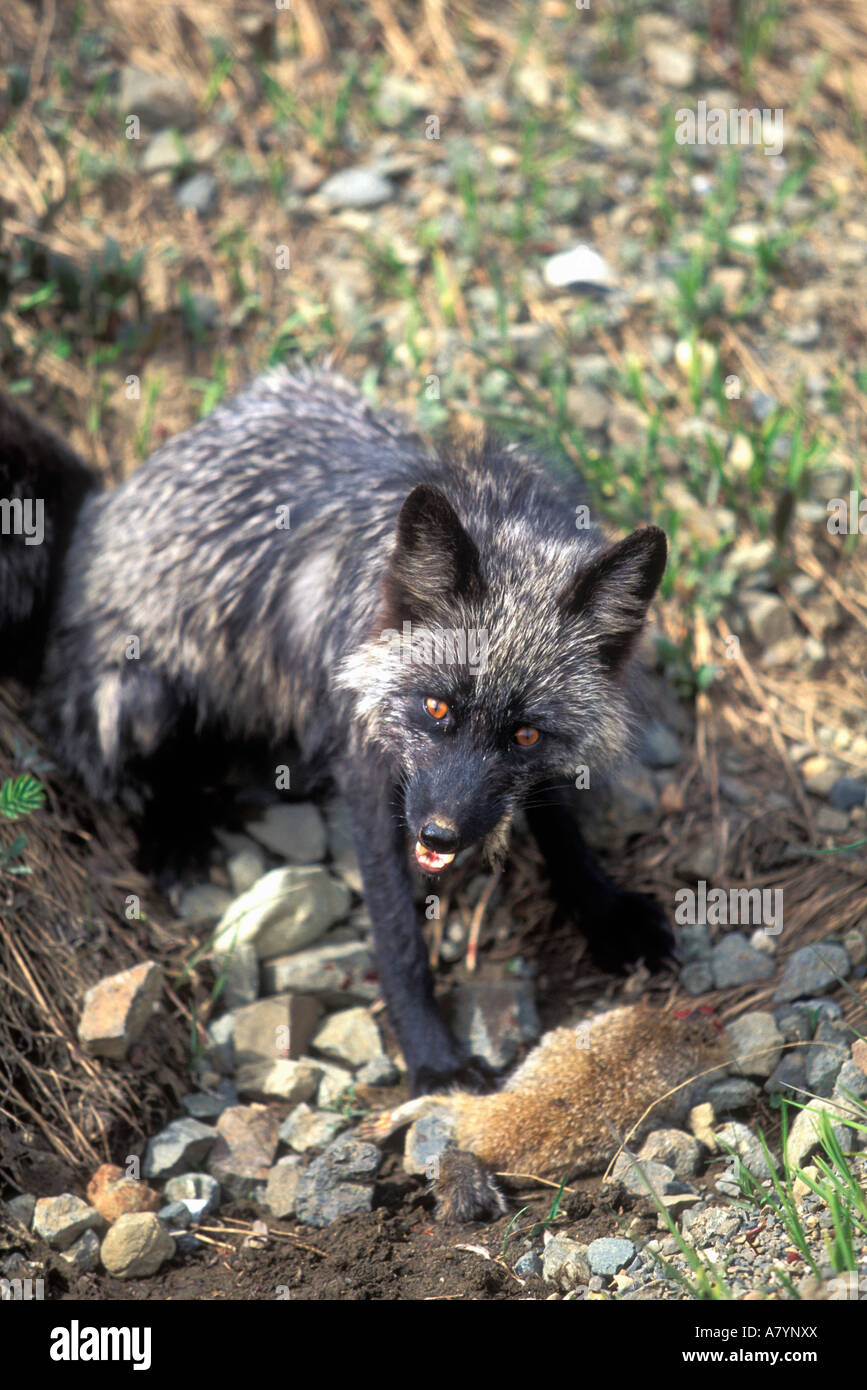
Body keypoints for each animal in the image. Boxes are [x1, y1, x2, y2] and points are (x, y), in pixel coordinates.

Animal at [0, 366, 674, 1094]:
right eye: (436, 709)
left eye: (525, 737)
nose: (440, 836)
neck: (497, 516)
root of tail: (102, 506)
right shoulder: (367, 765)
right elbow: (397, 929)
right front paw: (431, 1055)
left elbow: (558, 822)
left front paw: (605, 910)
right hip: (137, 695)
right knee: (129, 773)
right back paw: (175, 835)